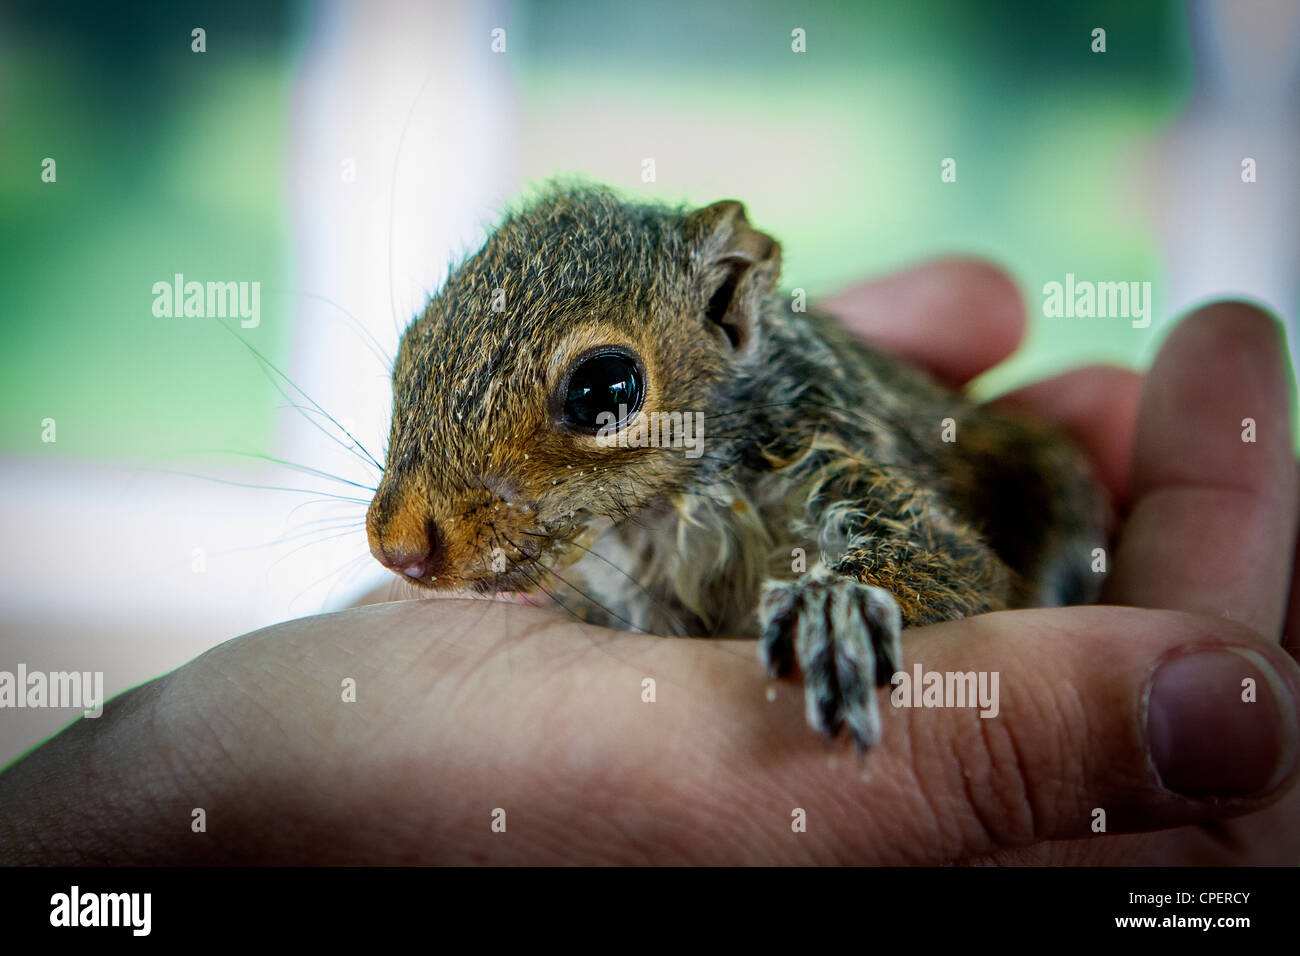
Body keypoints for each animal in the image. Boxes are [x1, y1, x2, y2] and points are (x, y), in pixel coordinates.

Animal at [365, 183, 1109, 750]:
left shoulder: (840, 448)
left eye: (604, 389)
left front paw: (832, 609)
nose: (397, 547)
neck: (671, 515)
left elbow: (951, 564)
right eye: (408, 352)